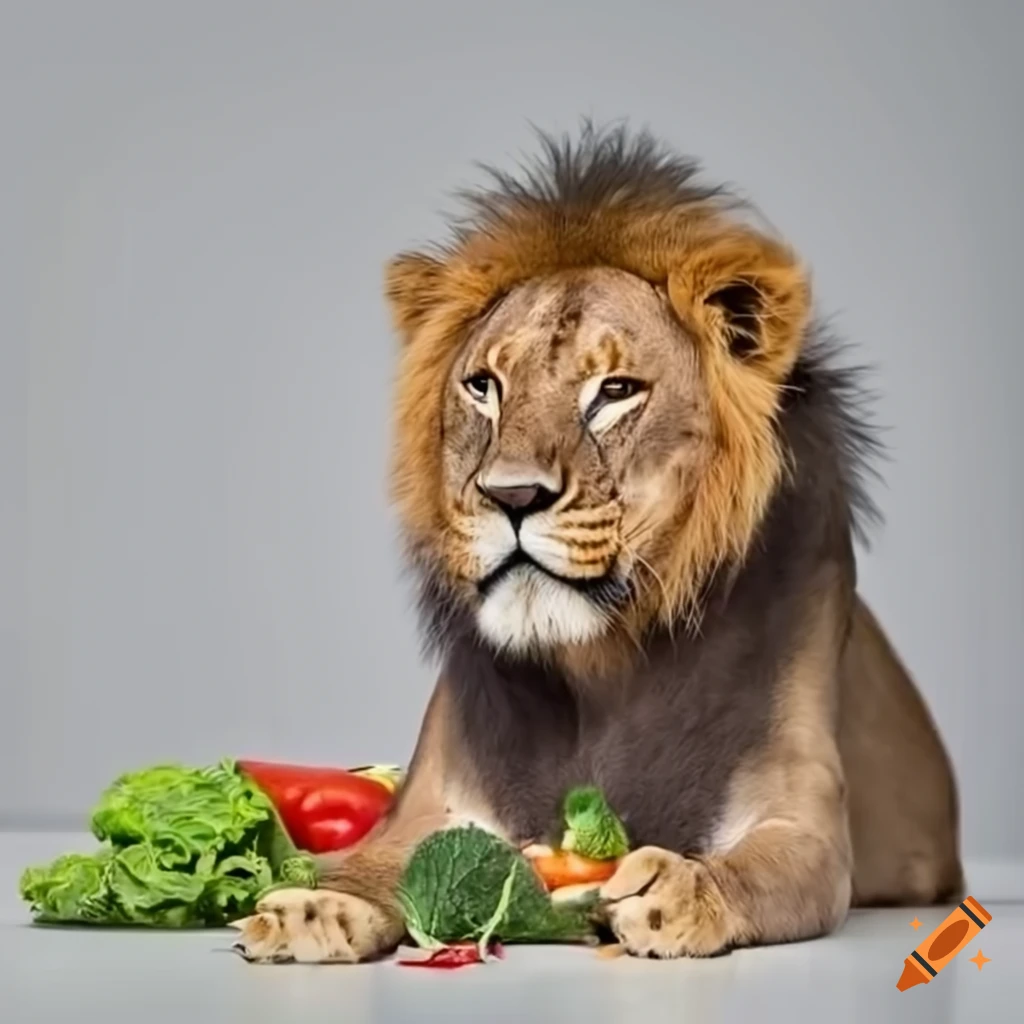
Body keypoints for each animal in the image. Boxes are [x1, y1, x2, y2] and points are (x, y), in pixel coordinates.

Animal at [234, 124, 963, 962]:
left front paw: (673, 891)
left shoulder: (798, 819)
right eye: (483, 387)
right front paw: (308, 909)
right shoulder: (430, 813)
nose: (512, 496)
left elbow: (749, 870)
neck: (602, 667)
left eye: (615, 391)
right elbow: (376, 867)